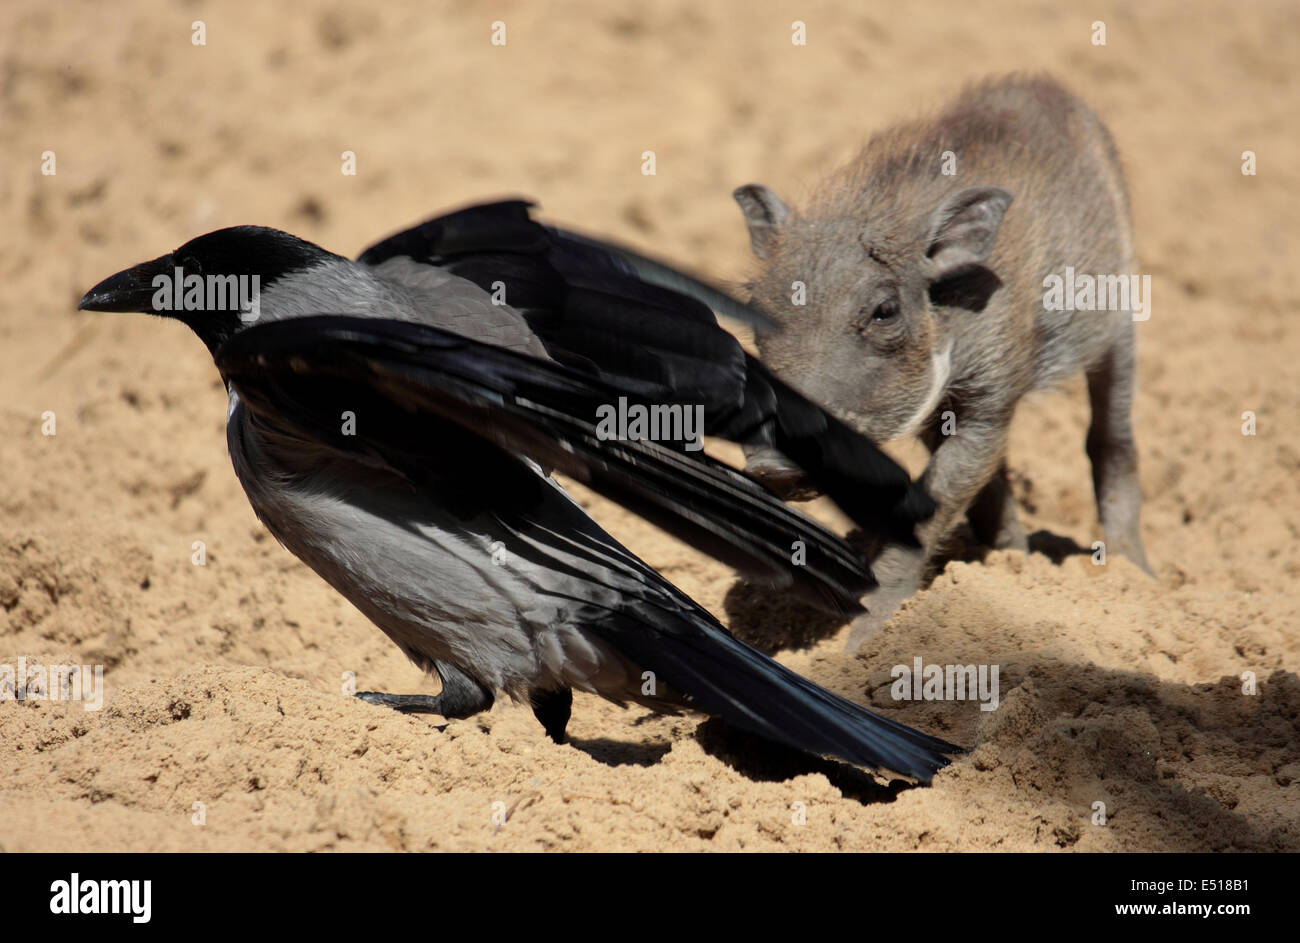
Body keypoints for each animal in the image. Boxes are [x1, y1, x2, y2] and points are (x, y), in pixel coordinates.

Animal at [733, 74, 1153, 649]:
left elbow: (937, 501)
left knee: (1111, 438)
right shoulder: (939, 408)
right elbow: (980, 490)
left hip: (1120, 324)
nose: (771, 467)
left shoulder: (990, 402)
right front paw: (1008, 571)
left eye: (885, 310)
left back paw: (1134, 575)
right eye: (754, 303)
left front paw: (861, 644)